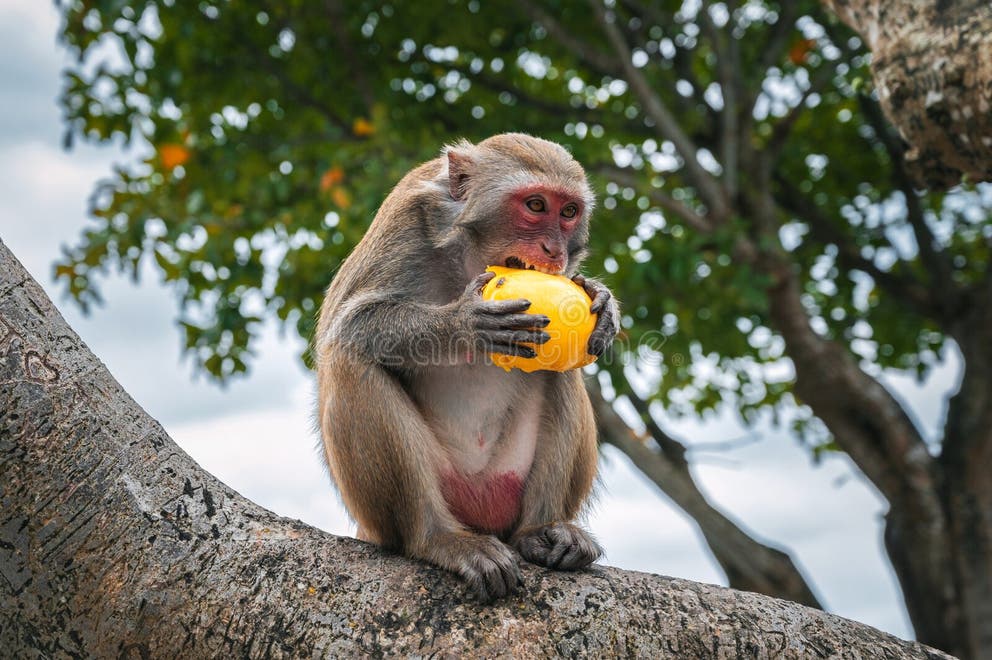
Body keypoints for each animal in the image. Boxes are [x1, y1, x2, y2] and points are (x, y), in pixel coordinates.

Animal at [314, 133, 620, 602]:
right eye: (535, 206)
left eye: (568, 212)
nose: (554, 249)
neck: (468, 259)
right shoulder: (405, 224)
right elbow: (346, 326)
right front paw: (464, 323)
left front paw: (603, 298)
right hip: (420, 497)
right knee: (351, 358)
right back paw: (438, 538)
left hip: (505, 484)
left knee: (560, 371)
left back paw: (541, 532)